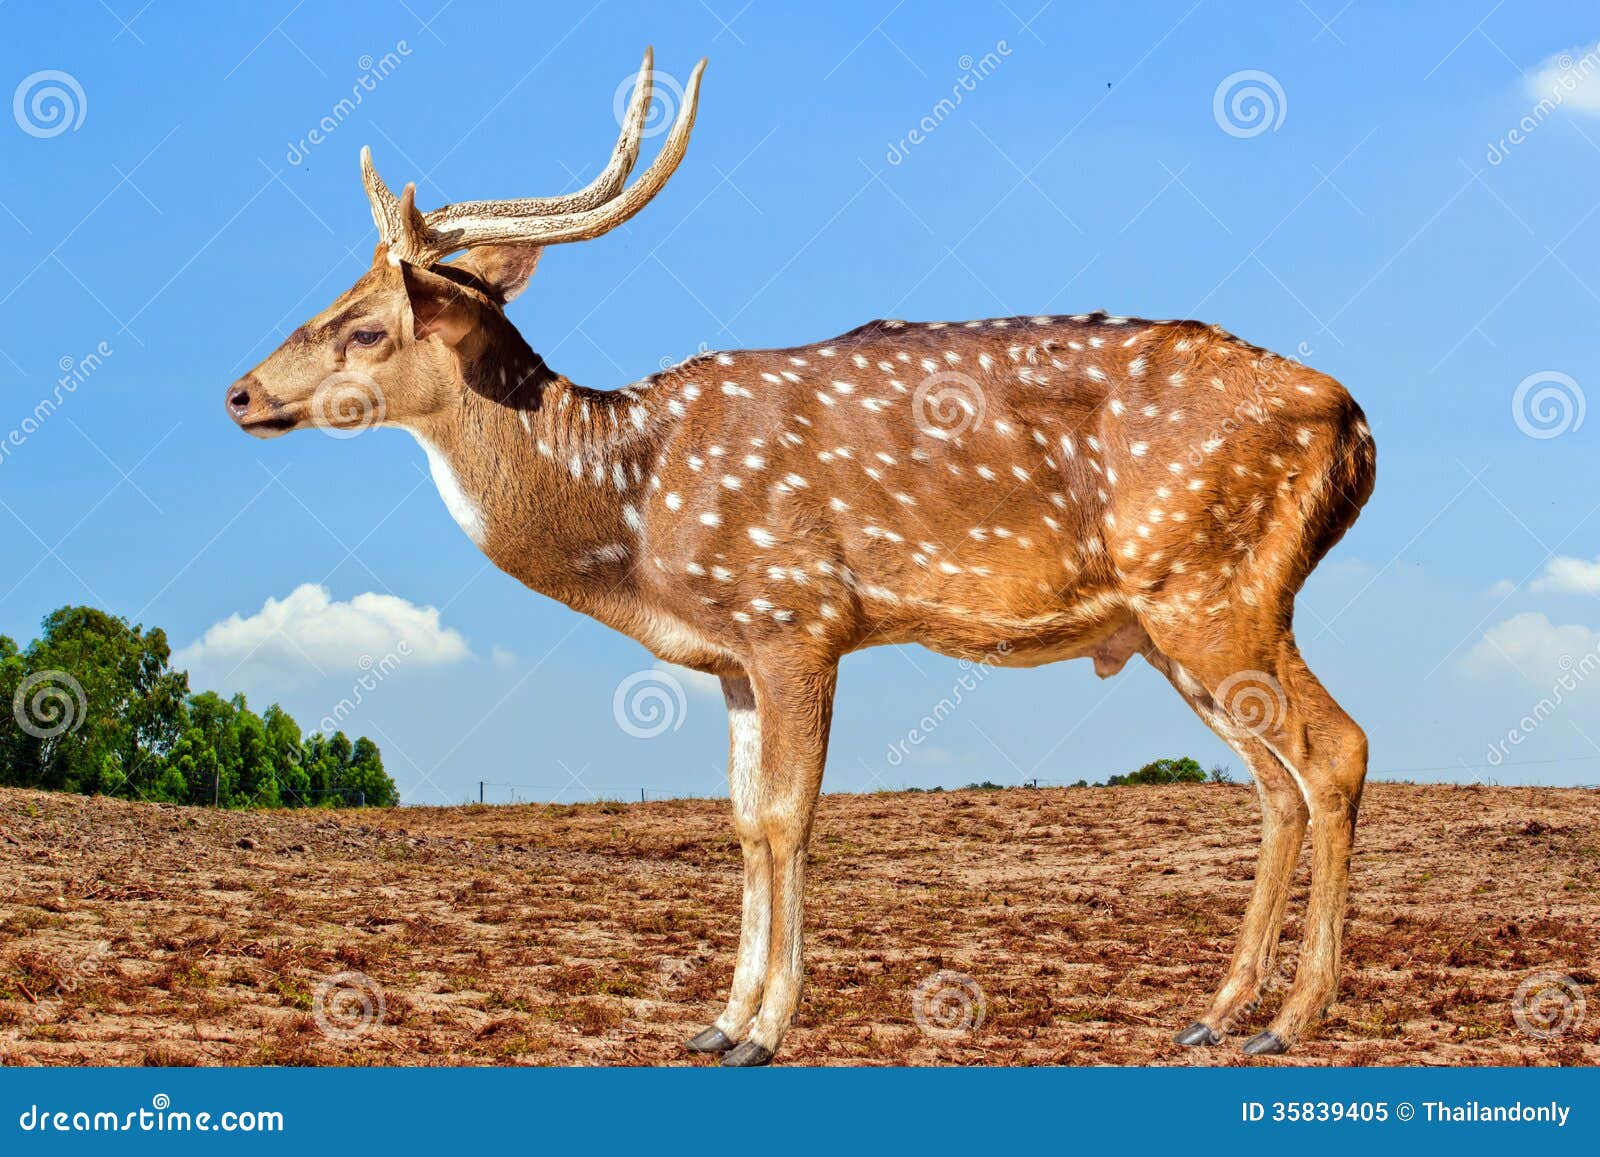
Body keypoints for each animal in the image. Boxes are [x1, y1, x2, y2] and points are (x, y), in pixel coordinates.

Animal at [225, 49, 1377, 1066]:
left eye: (367, 327)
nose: (239, 391)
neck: (633, 510)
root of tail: (1355, 422)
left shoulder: (795, 617)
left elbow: (787, 817)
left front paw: (767, 1029)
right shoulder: (733, 657)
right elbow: (741, 821)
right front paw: (716, 1020)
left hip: (1218, 587)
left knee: (1337, 749)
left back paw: (1291, 1019)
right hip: (1168, 626)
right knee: (1273, 782)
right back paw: (1215, 1014)